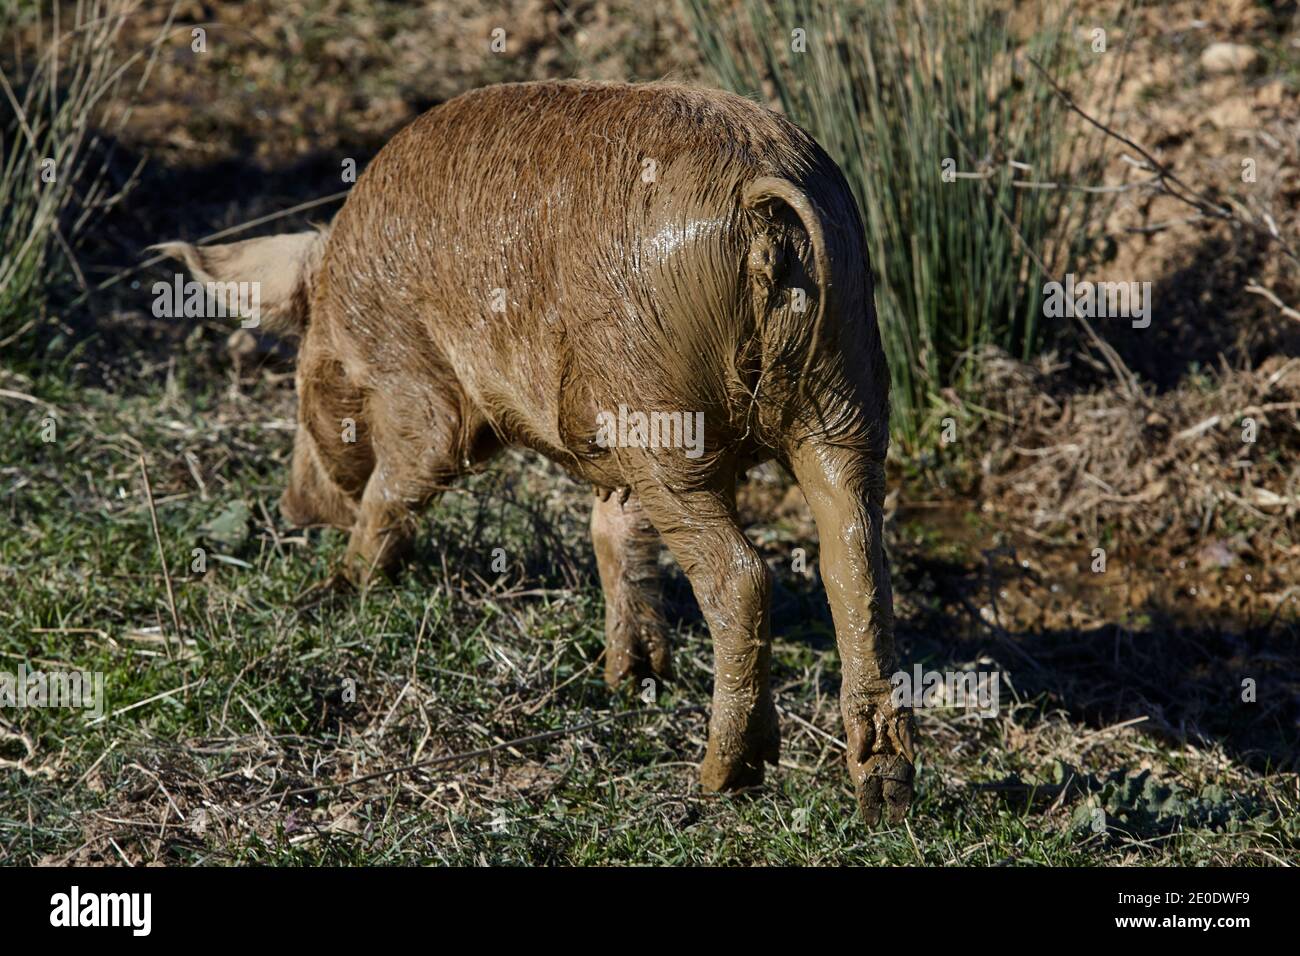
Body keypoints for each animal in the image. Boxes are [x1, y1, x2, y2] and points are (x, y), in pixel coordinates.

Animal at [154, 80, 914, 824]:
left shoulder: (412, 378)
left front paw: (342, 585)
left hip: (669, 410)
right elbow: (614, 534)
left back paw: (722, 779)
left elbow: (404, 478)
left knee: (742, 574)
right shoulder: (611, 443)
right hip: (846, 379)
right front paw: (630, 677)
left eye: (302, 366)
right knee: (854, 557)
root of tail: (759, 187)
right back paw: (883, 795)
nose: (294, 507)